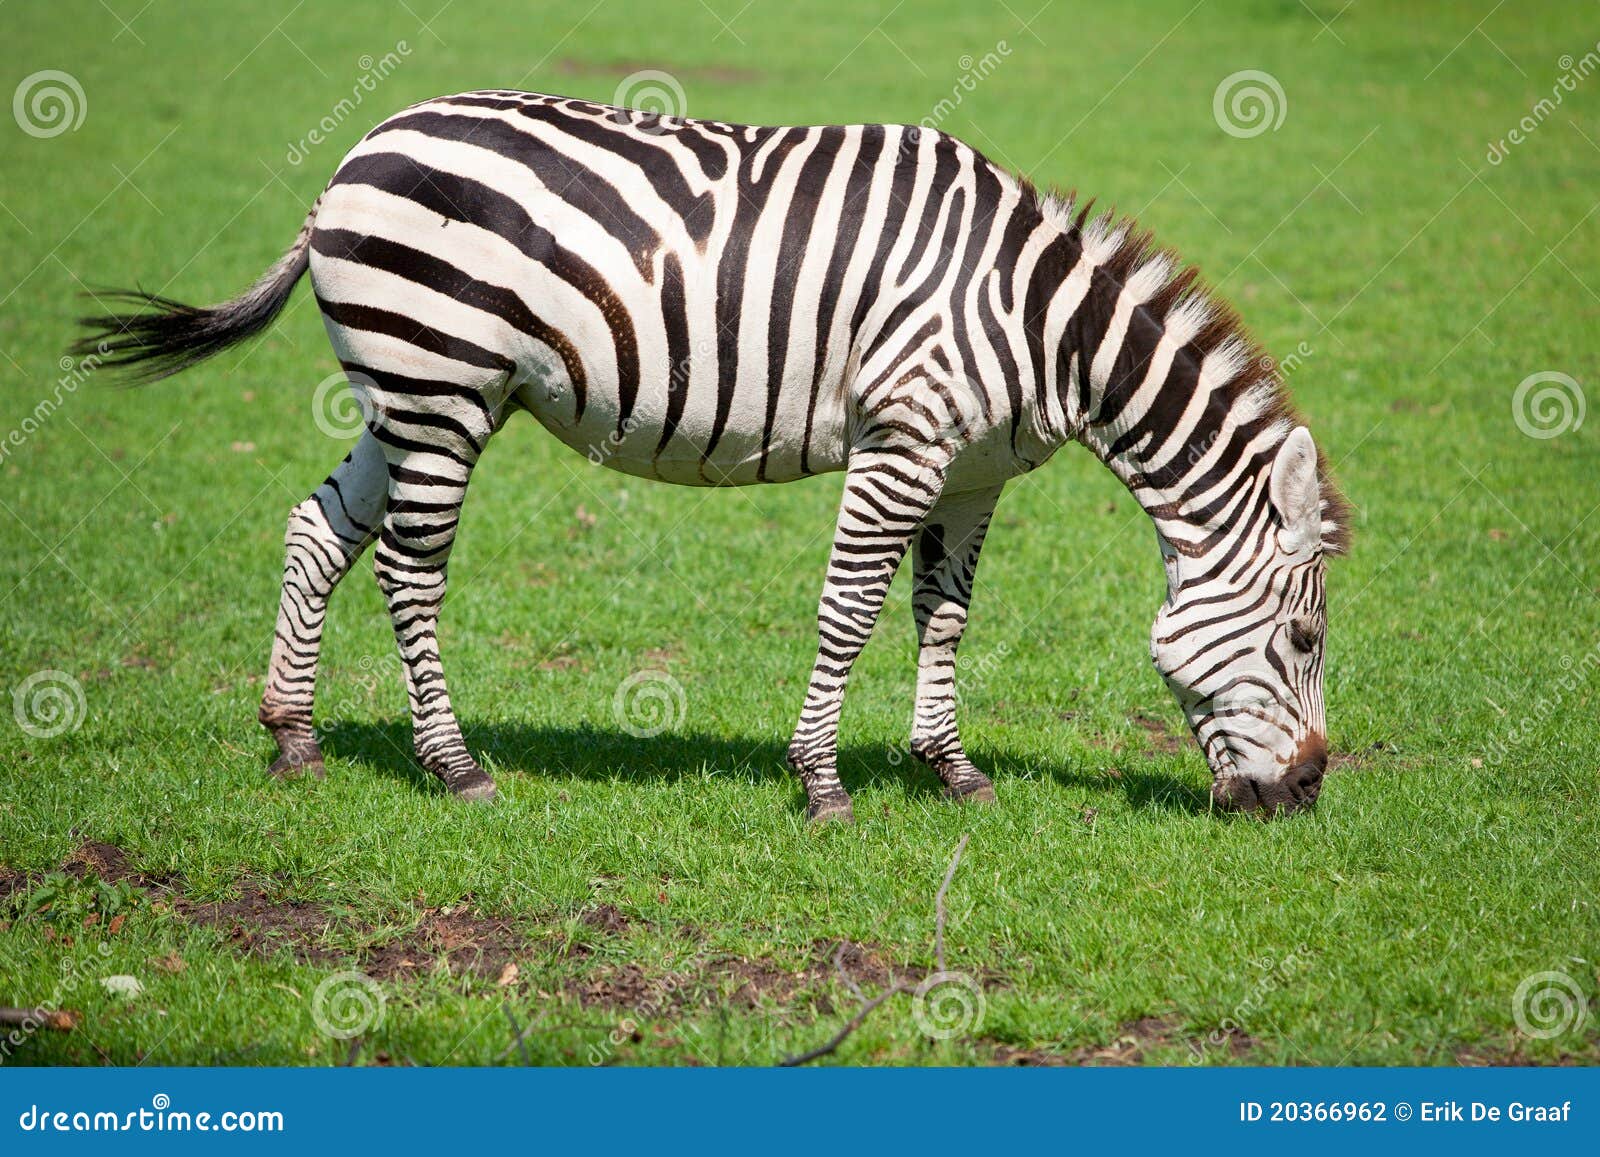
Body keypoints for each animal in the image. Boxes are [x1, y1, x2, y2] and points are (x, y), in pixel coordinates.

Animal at [74, 90, 1349, 822]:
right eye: (1303, 639)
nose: (1305, 791)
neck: (1043, 325)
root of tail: (360, 147)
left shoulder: (972, 469)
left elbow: (942, 616)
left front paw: (949, 768)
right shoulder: (902, 439)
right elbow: (850, 608)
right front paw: (821, 783)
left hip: (421, 387)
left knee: (320, 527)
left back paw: (293, 737)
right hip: (436, 382)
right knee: (408, 565)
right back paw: (453, 764)